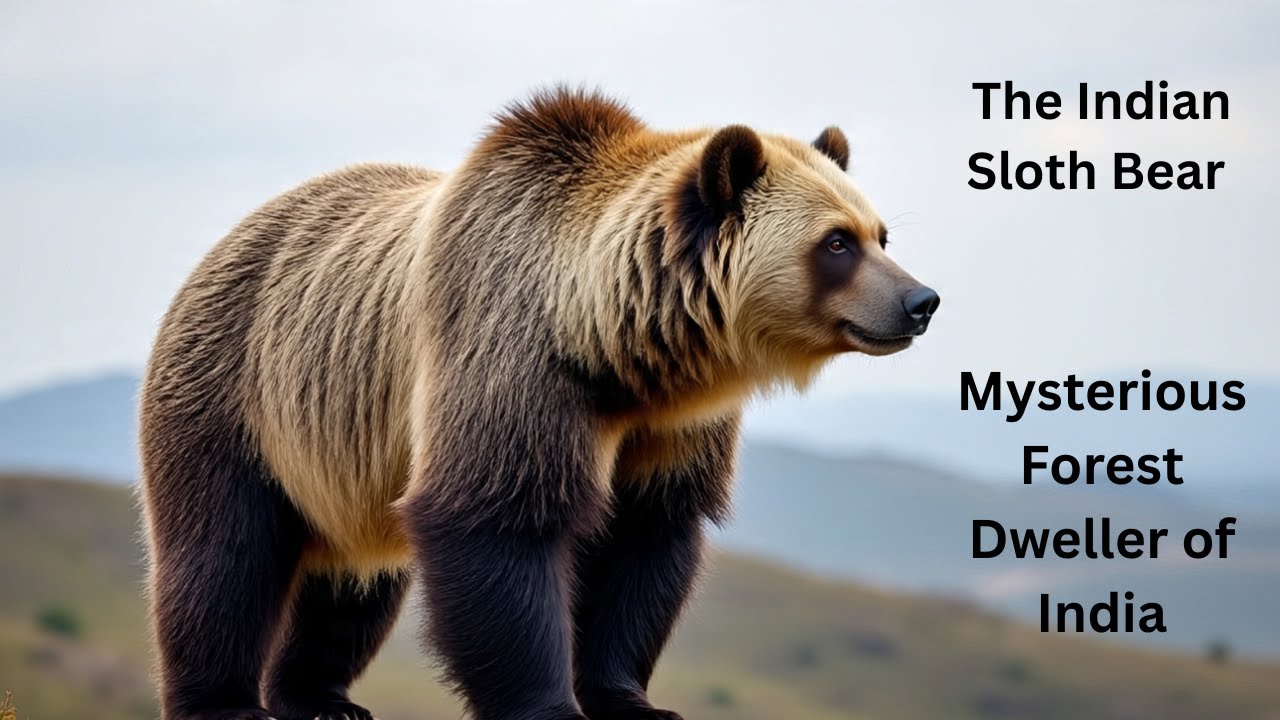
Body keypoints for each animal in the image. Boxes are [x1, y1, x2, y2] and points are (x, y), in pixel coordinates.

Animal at [139, 88, 939, 720]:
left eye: (881, 234)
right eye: (836, 243)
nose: (920, 301)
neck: (613, 349)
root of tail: (229, 238)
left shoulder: (671, 427)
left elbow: (643, 543)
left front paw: (629, 699)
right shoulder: (512, 365)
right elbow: (496, 522)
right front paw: (547, 705)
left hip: (349, 458)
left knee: (354, 581)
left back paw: (319, 697)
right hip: (235, 393)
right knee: (223, 553)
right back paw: (225, 703)